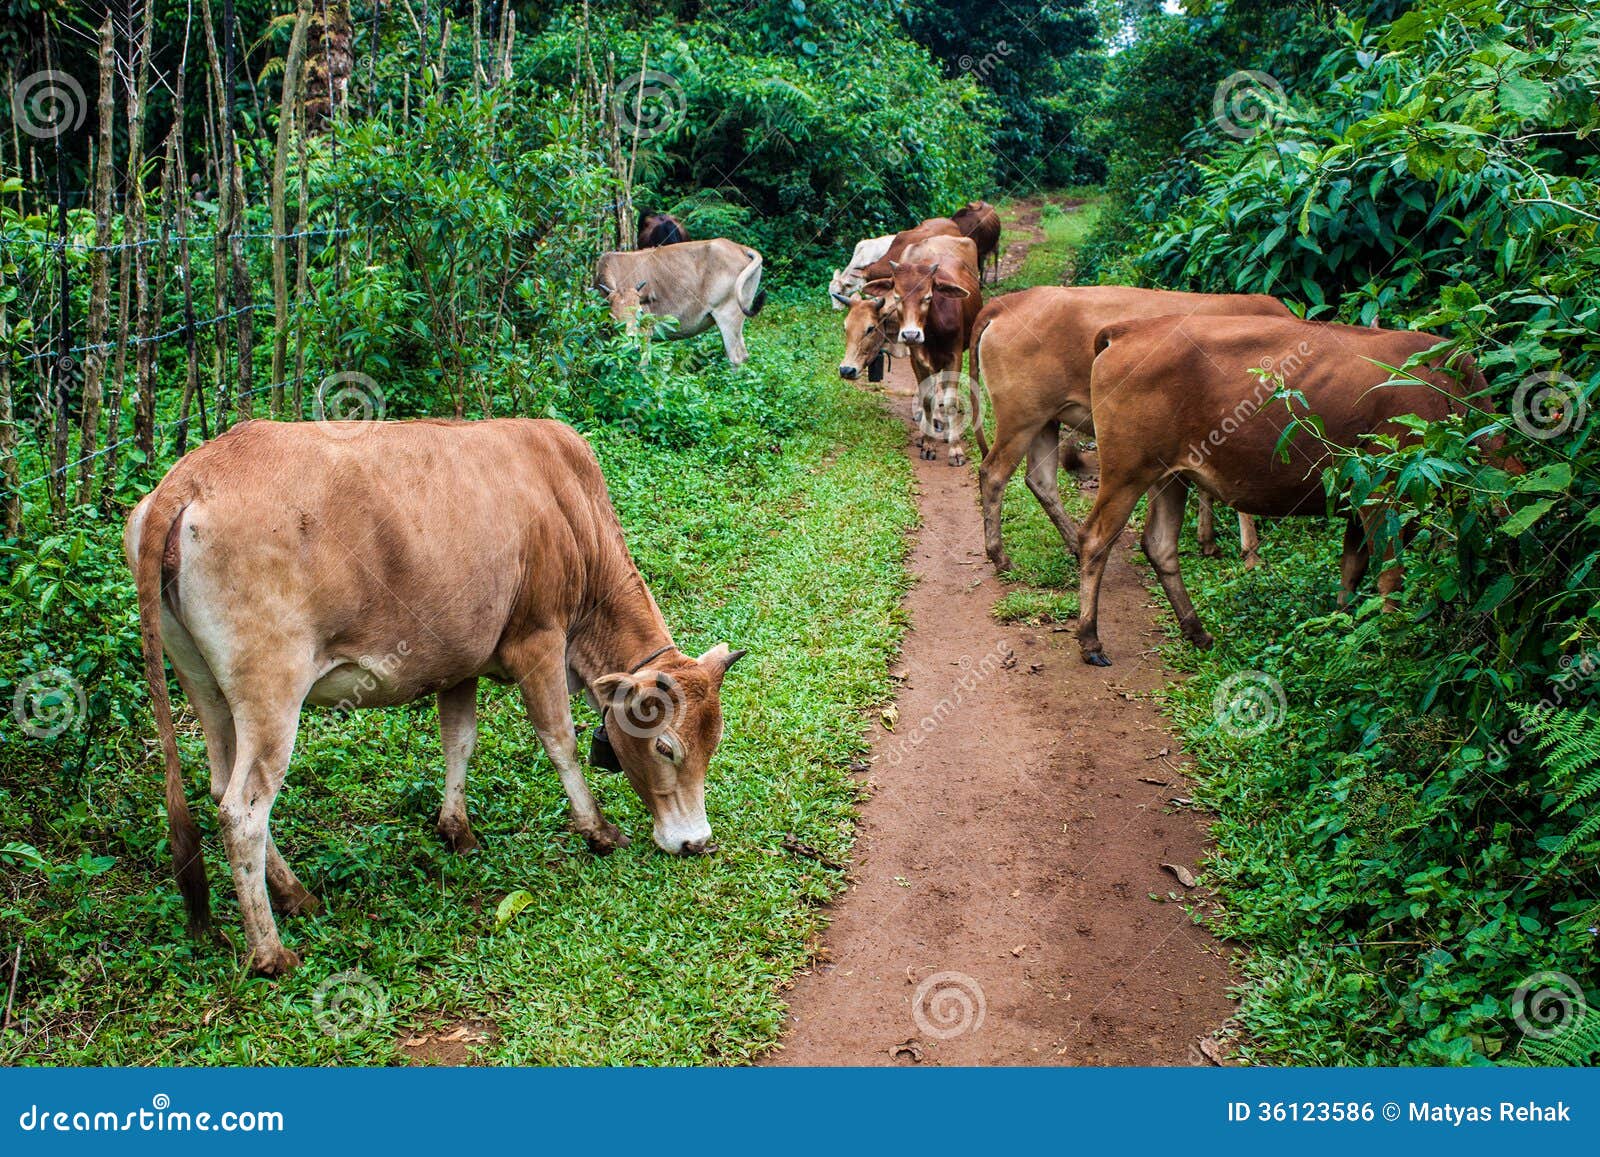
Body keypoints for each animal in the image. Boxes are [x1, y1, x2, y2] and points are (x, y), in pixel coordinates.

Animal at [125, 418, 747, 975]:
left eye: (714, 745)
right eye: (665, 748)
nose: (696, 843)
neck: (571, 510)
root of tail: (191, 475)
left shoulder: (461, 662)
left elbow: (459, 742)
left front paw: (457, 830)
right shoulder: (539, 640)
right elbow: (560, 741)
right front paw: (597, 830)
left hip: (205, 688)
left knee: (218, 785)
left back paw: (295, 895)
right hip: (271, 696)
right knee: (243, 809)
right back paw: (271, 951)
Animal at [596, 239, 765, 365]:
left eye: (640, 312)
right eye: (612, 317)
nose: (630, 340)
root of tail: (739, 248)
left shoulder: (645, 334)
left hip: (729, 315)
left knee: (736, 357)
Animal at [863, 235, 982, 465]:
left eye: (928, 296)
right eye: (897, 297)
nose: (911, 334)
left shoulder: (954, 356)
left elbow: (949, 400)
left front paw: (955, 450)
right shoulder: (917, 358)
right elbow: (927, 399)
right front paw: (928, 443)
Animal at [967, 286, 1294, 573]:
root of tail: (1007, 302)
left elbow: (1207, 489)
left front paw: (1208, 541)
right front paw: (1251, 554)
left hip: (1046, 418)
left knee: (1041, 481)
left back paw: (1074, 545)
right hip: (1021, 418)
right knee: (993, 474)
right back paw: (1000, 557)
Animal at [1074, 314, 1508, 665]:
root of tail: (1126, 329)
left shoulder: (1356, 498)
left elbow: (1352, 569)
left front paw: (1343, 625)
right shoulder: (1384, 493)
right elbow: (1390, 577)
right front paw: (1391, 644)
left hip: (1171, 475)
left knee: (1160, 544)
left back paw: (1198, 632)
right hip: (1127, 470)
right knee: (1095, 539)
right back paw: (1090, 640)